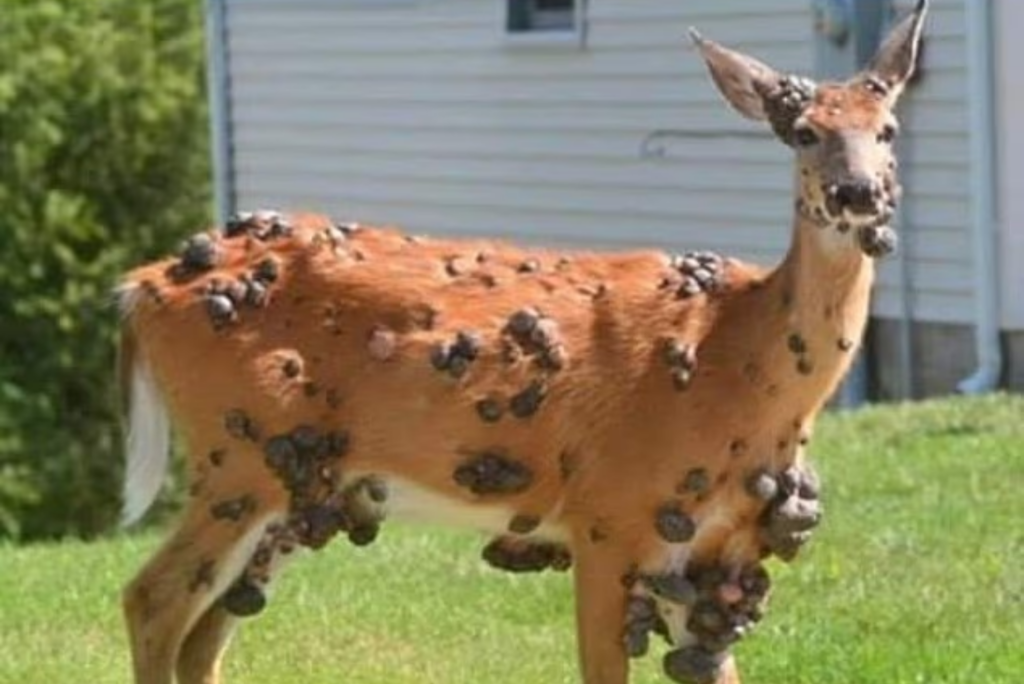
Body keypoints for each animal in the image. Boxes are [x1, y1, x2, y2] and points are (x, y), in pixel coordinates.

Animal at [116, 3, 927, 683]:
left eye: (886, 129)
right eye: (805, 131)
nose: (859, 193)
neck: (739, 363)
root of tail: (140, 286)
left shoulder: (711, 553)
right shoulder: (609, 515)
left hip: (296, 488)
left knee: (204, 635)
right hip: (236, 455)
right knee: (152, 599)